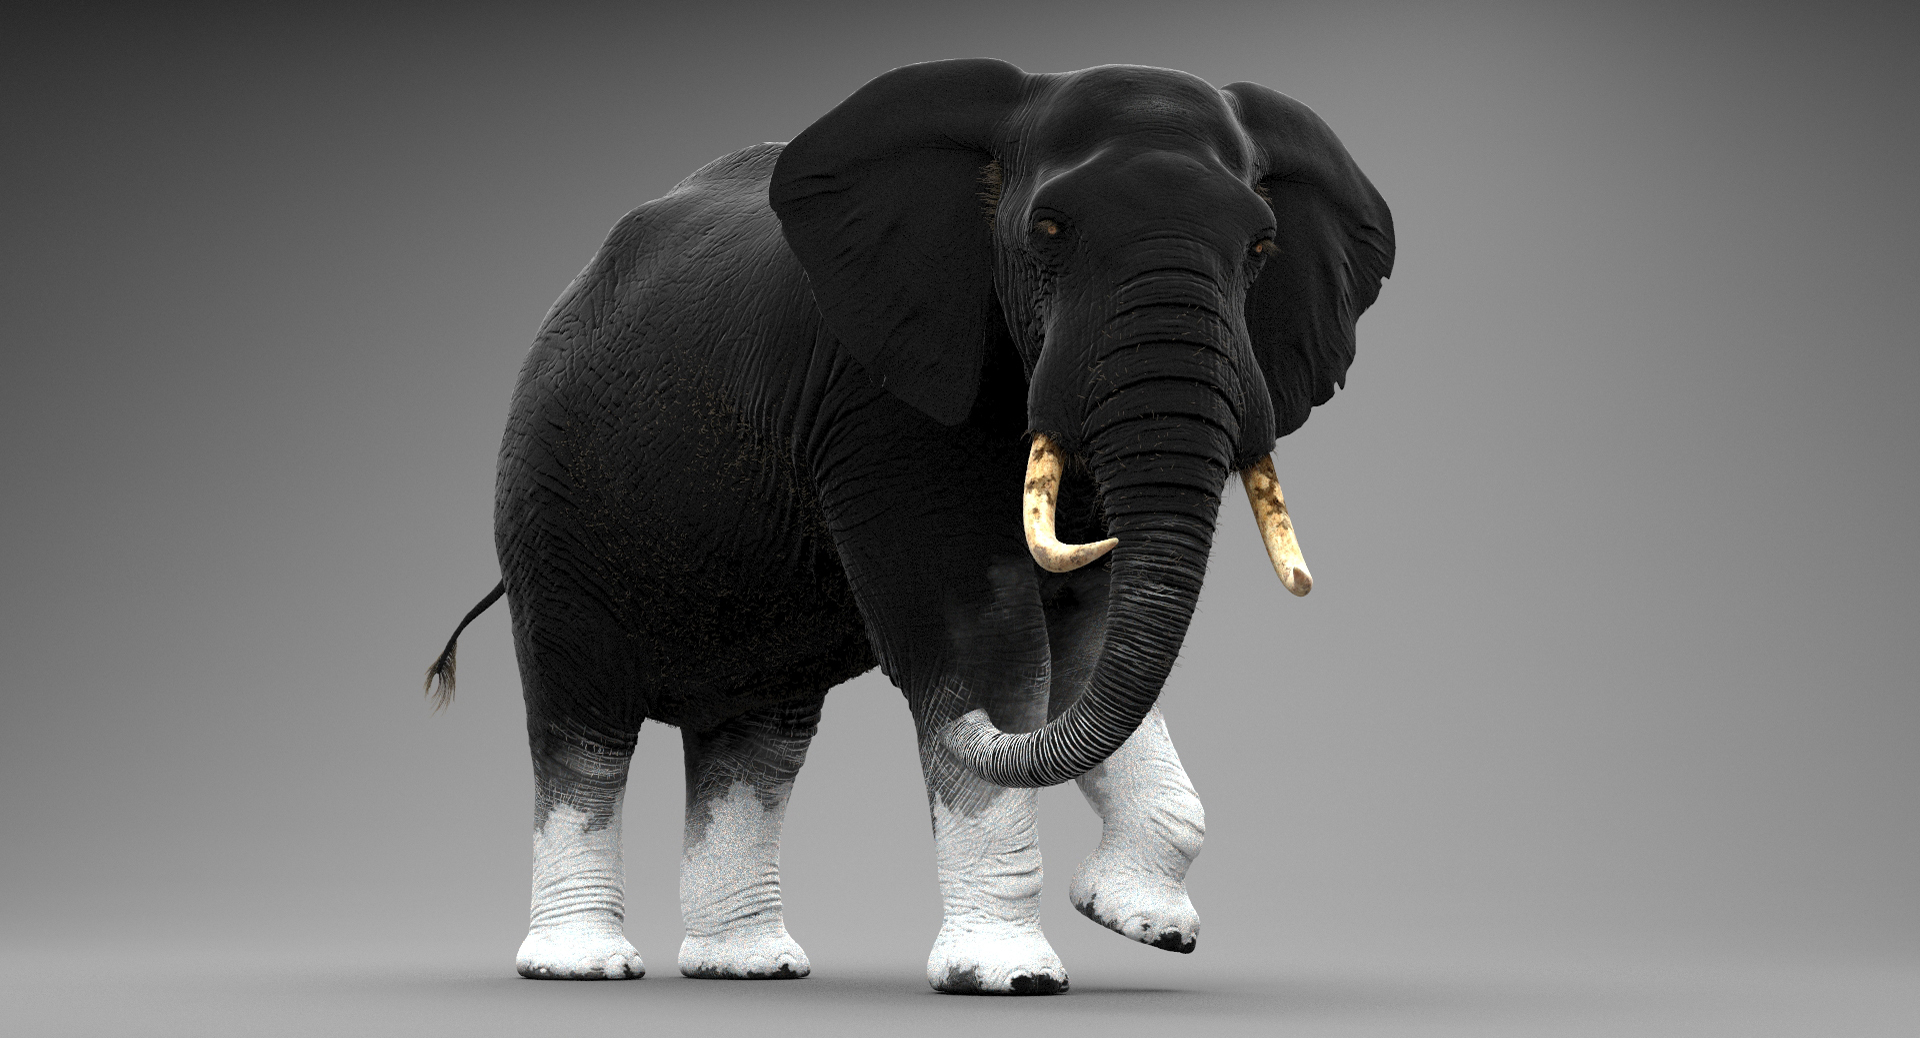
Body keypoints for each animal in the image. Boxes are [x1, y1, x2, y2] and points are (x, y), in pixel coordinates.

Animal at [426, 57, 1393, 994]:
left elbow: (1087, 633)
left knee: (755, 738)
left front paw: (1142, 923)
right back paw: (582, 967)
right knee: (580, 717)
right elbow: (982, 640)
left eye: (1261, 247)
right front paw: (1013, 978)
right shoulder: (876, 397)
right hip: (550, 499)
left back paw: (752, 967)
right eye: (1048, 232)